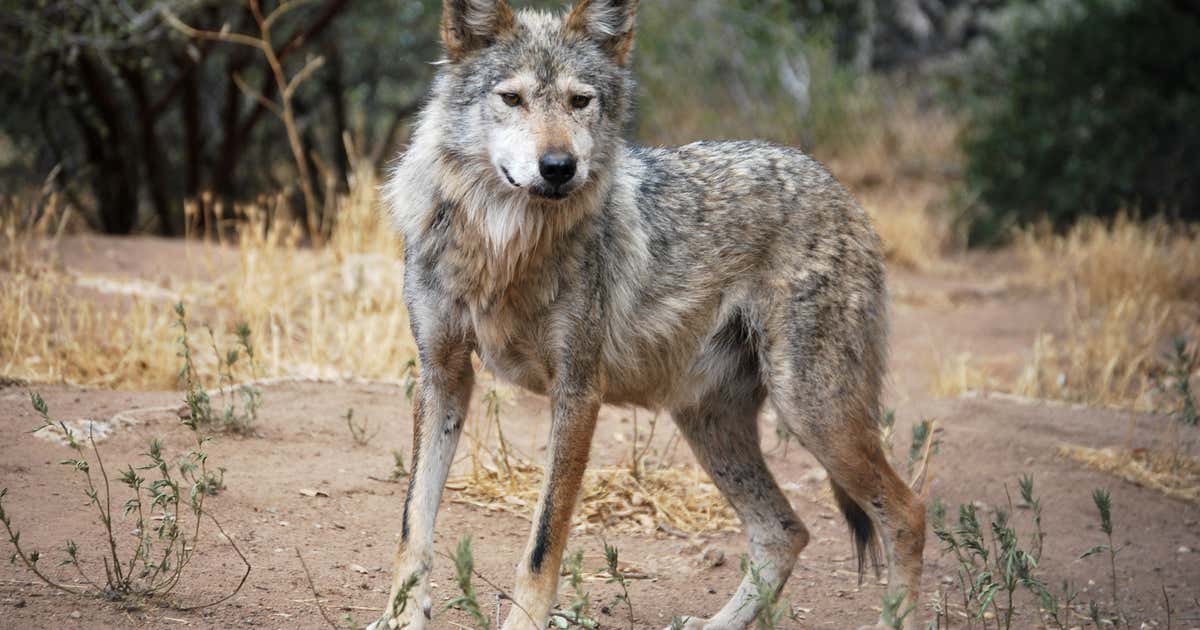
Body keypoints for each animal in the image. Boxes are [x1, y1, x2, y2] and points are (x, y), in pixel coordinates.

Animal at [375, 1, 925, 628]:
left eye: (580, 101)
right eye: (511, 98)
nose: (559, 166)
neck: (501, 245)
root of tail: (842, 191)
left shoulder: (578, 389)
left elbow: (542, 543)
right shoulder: (443, 374)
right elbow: (413, 523)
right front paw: (398, 617)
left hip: (812, 413)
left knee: (907, 514)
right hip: (710, 423)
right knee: (785, 531)